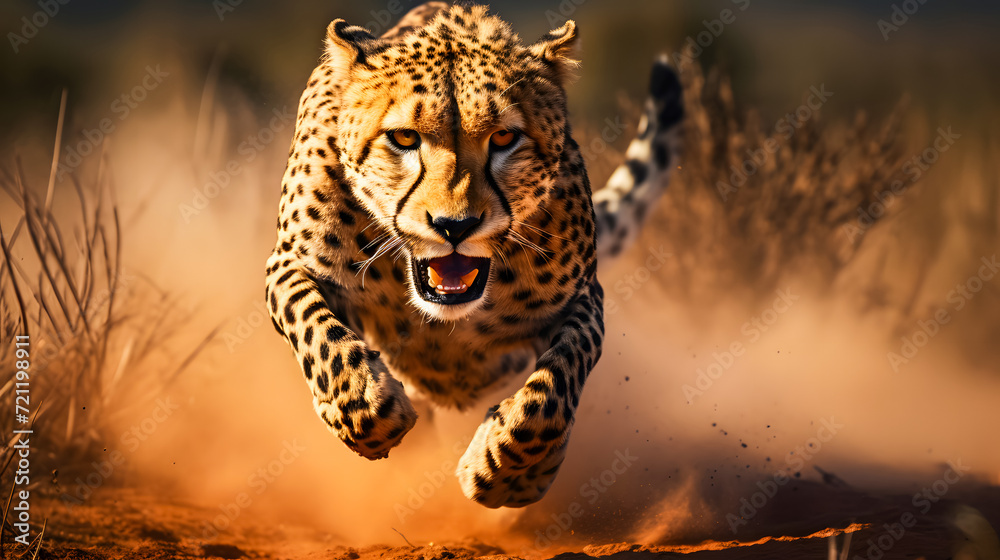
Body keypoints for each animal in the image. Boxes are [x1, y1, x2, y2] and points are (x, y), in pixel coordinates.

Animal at [264, 1, 682, 508]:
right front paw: (366, 408)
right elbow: (319, 334)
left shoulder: (582, 297)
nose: (455, 226)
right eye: (404, 138)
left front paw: (506, 471)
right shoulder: (290, 264)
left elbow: (555, 387)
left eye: (503, 138)